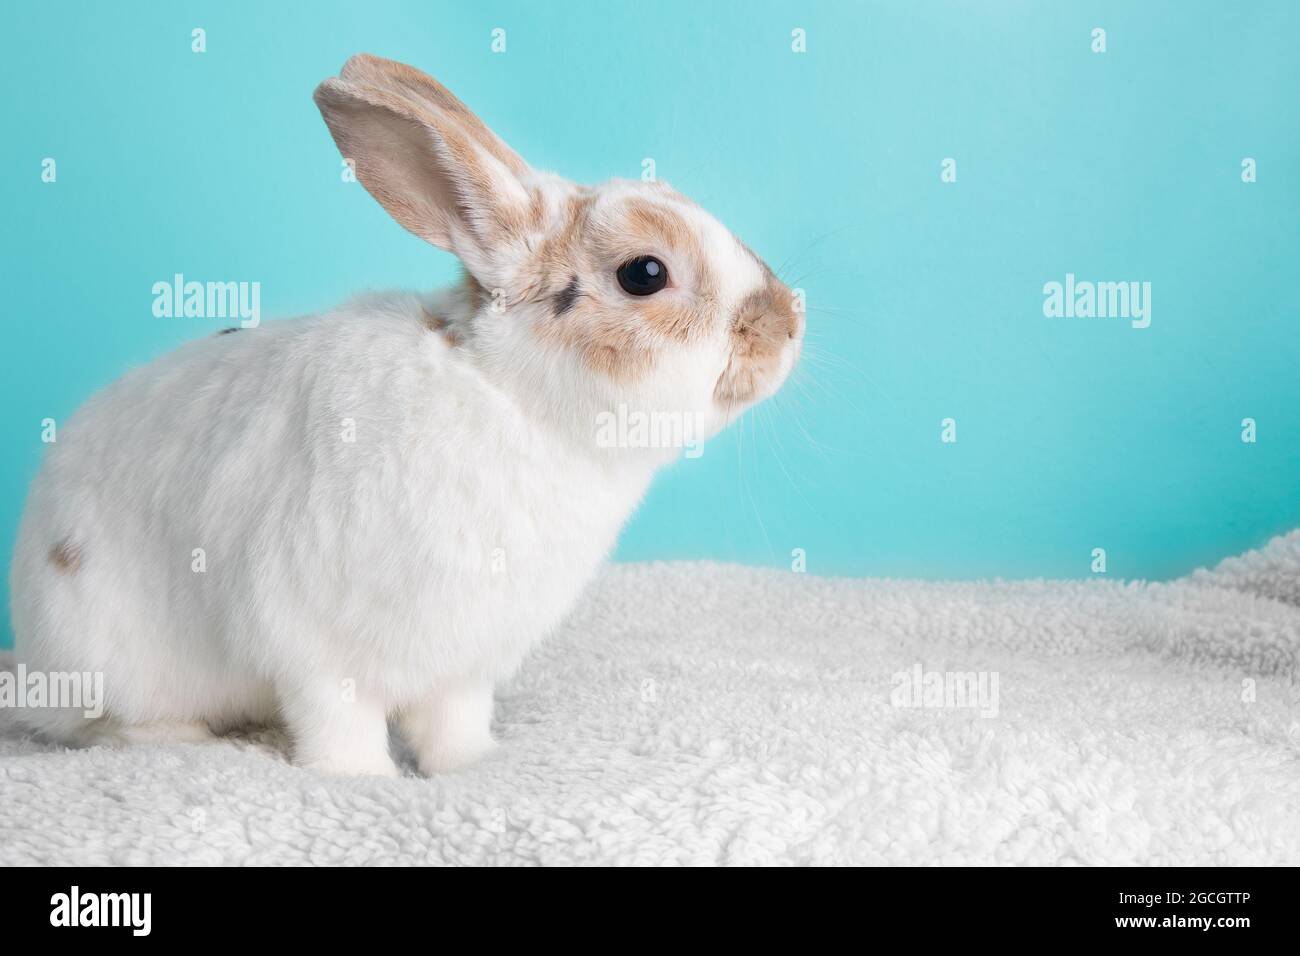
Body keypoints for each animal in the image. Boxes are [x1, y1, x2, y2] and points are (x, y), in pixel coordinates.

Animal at [8, 54, 804, 776]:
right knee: (112, 727)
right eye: (645, 273)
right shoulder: (315, 645)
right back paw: (185, 740)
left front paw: (472, 767)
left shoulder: (464, 660)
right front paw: (363, 781)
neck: (510, 397)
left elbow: (454, 719)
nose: (788, 324)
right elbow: (337, 723)